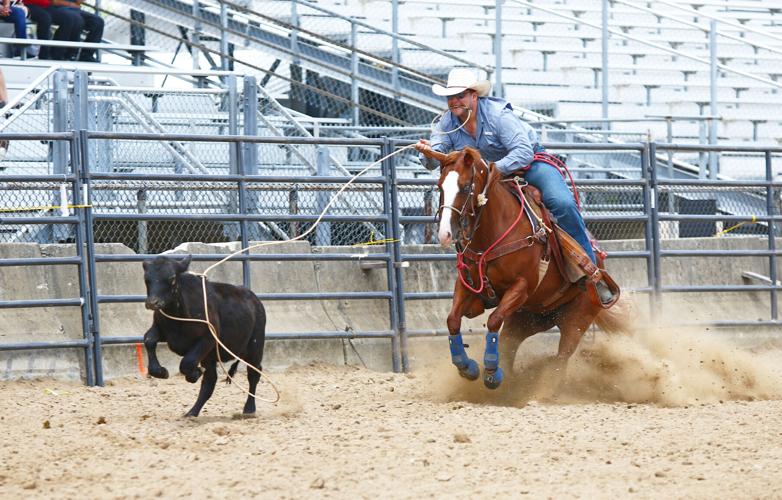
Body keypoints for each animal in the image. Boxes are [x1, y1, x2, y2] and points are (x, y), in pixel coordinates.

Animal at [142, 254, 266, 417]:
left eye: (172, 278)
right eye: (147, 279)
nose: (153, 303)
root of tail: (254, 299)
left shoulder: (208, 339)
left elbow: (187, 362)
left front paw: (195, 373)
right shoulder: (162, 330)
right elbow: (149, 339)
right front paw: (160, 371)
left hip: (255, 347)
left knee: (253, 373)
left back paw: (249, 409)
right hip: (210, 356)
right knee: (210, 381)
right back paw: (192, 412)